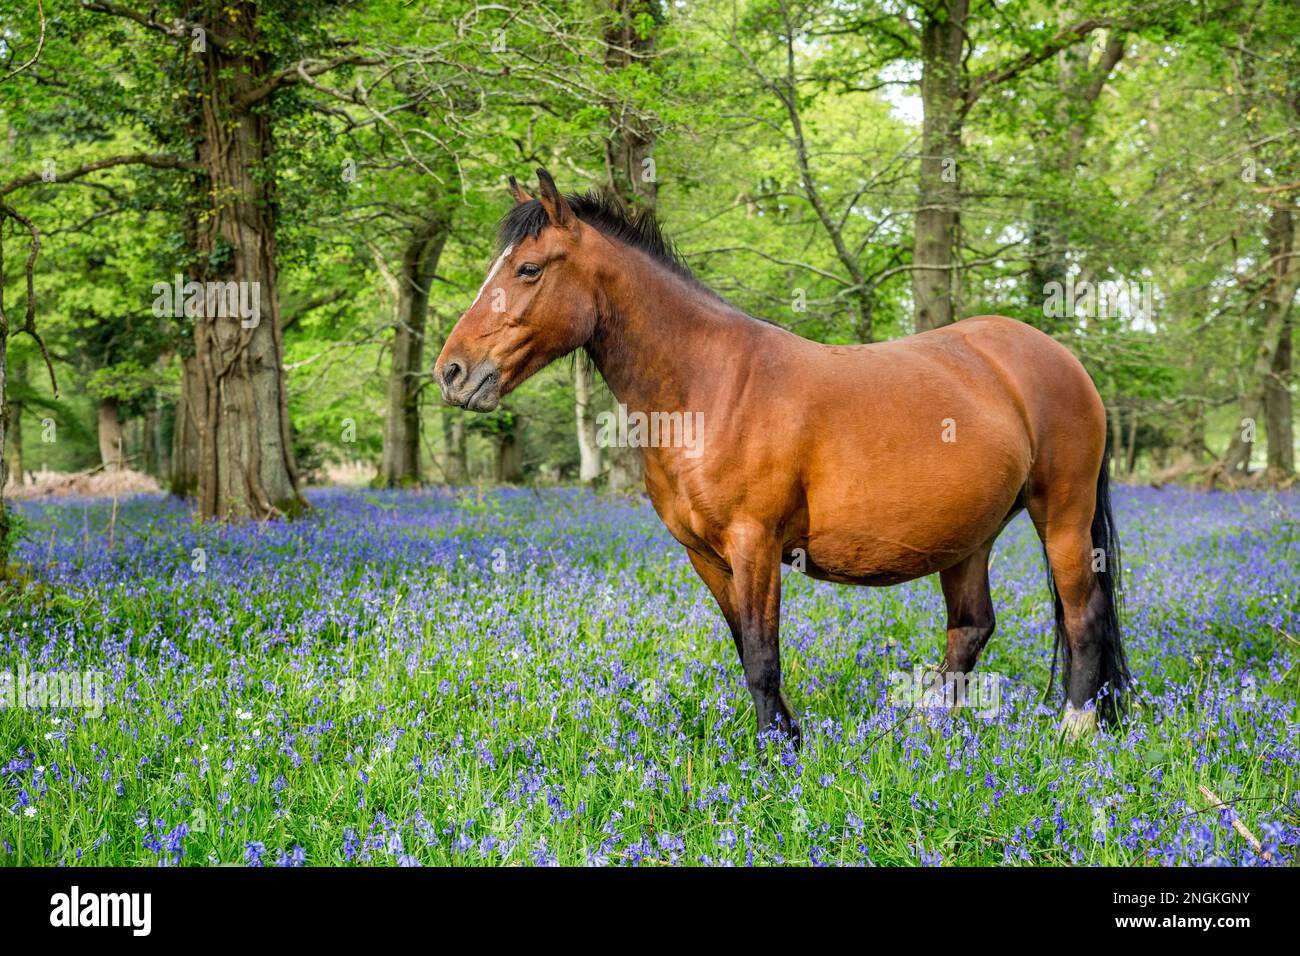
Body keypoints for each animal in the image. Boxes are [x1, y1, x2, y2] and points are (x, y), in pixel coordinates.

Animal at [435, 168, 1129, 747]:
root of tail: (1060, 360)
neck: (709, 386)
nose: (453, 372)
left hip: (1062, 517)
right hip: (968, 538)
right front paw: (787, 737)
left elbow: (764, 658)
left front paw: (777, 756)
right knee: (972, 627)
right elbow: (747, 649)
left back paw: (1075, 731)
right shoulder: (706, 556)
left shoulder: (756, 544)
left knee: (1083, 615)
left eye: (528, 270)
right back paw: (930, 732)